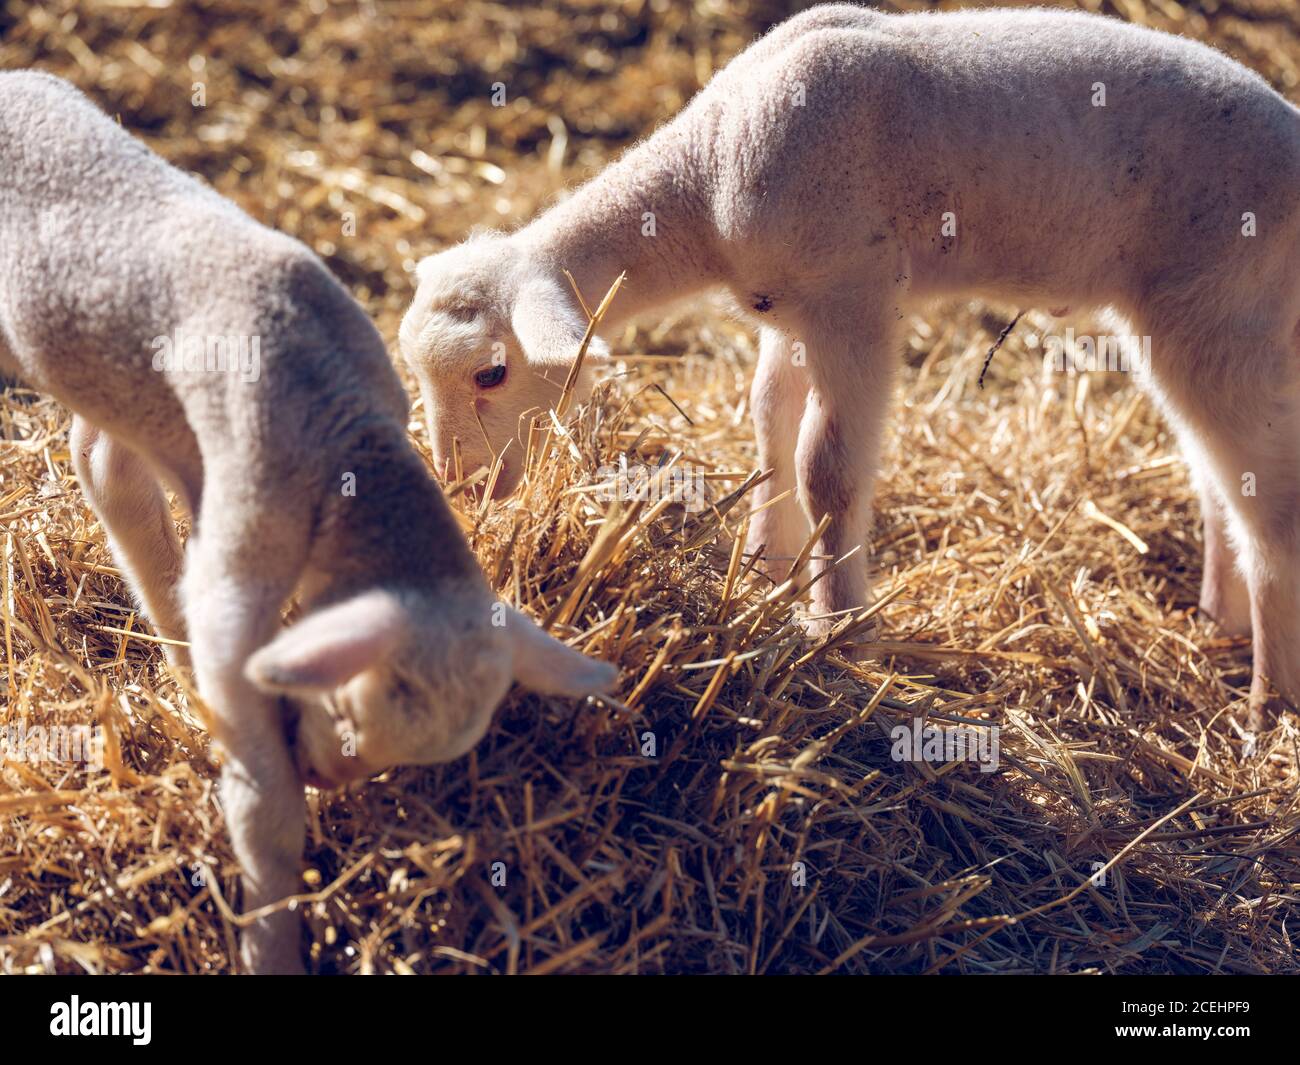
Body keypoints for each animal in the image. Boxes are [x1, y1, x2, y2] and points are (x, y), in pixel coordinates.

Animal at [0, 70, 617, 973]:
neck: (347, 438)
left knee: (103, 458)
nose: (326, 776)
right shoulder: (248, 521)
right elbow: (263, 801)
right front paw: (273, 937)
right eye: (354, 706)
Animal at [401, 5, 1300, 729]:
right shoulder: (788, 310)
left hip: (1223, 309)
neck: (704, 174)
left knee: (1269, 506)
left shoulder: (853, 297)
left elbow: (824, 468)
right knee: (1219, 479)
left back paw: (1267, 706)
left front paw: (839, 633)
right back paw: (1219, 620)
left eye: (490, 374)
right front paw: (766, 570)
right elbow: (768, 424)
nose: (459, 488)